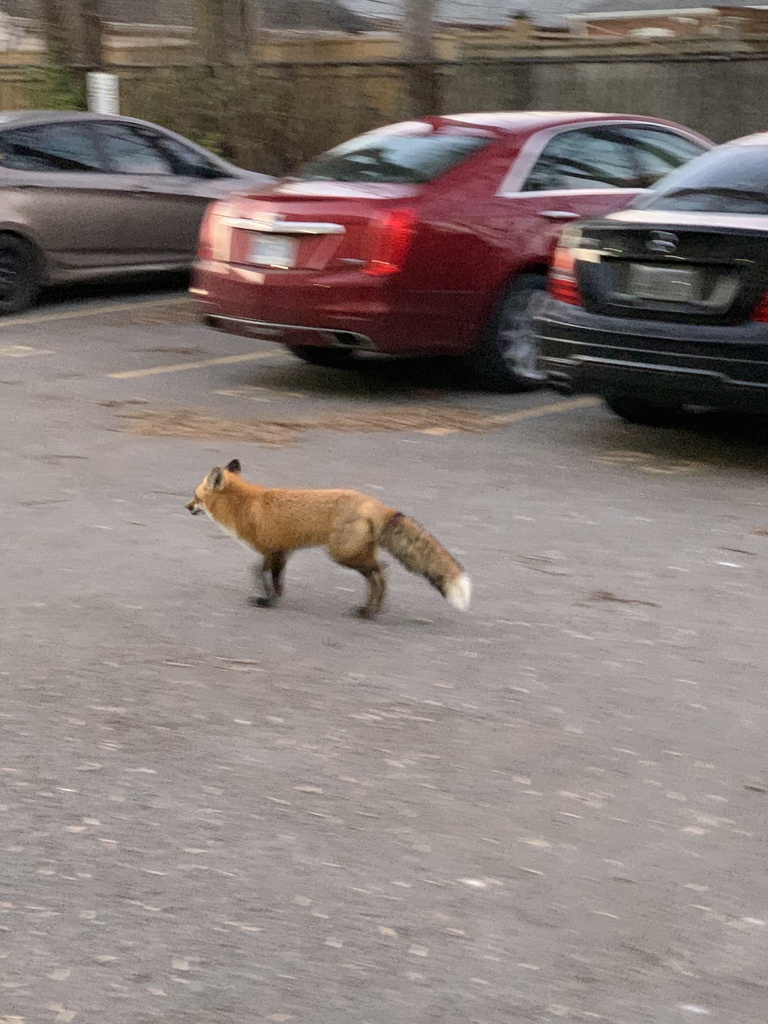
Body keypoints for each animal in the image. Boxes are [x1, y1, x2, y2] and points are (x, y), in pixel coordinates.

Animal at [186, 459, 471, 619]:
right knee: (380, 575)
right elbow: (275, 578)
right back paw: (371, 610)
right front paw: (275, 597)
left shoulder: (272, 550)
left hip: (341, 554)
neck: (245, 505)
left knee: (381, 572)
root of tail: (374, 503)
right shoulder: (282, 551)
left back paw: (369, 611)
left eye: (196, 497)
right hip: (353, 553)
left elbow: (258, 572)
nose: (186, 507)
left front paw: (266, 601)